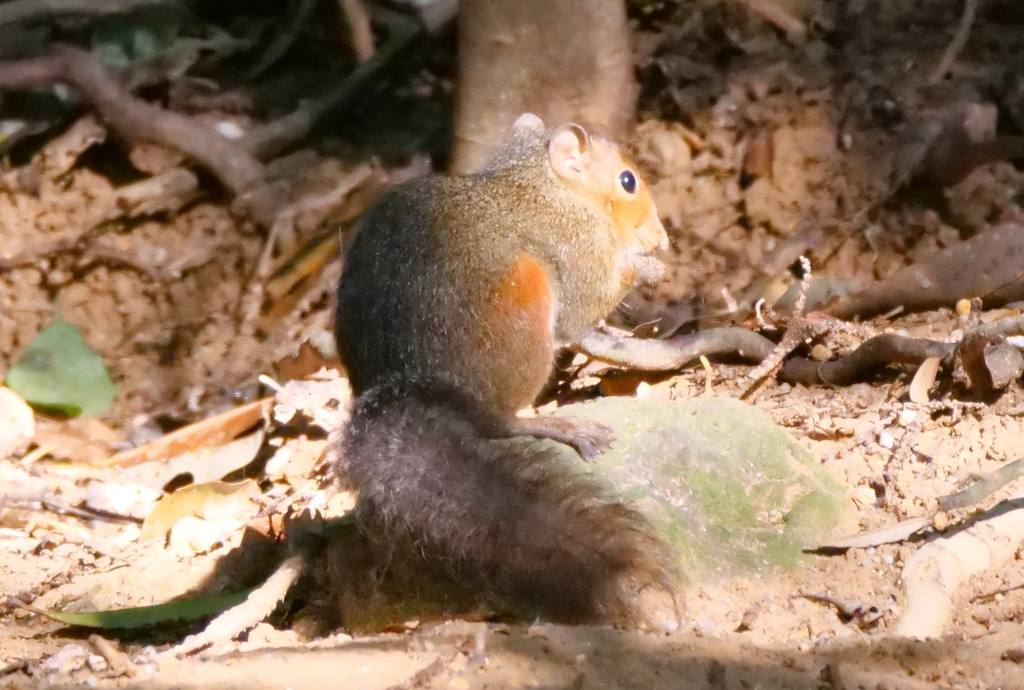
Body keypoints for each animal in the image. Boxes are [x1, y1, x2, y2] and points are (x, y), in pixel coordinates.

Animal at [333, 113, 676, 626]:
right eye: (627, 181)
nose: (660, 234)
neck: (540, 185)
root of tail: (415, 384)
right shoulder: (578, 246)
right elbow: (583, 308)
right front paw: (649, 264)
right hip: (523, 324)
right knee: (501, 423)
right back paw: (560, 426)